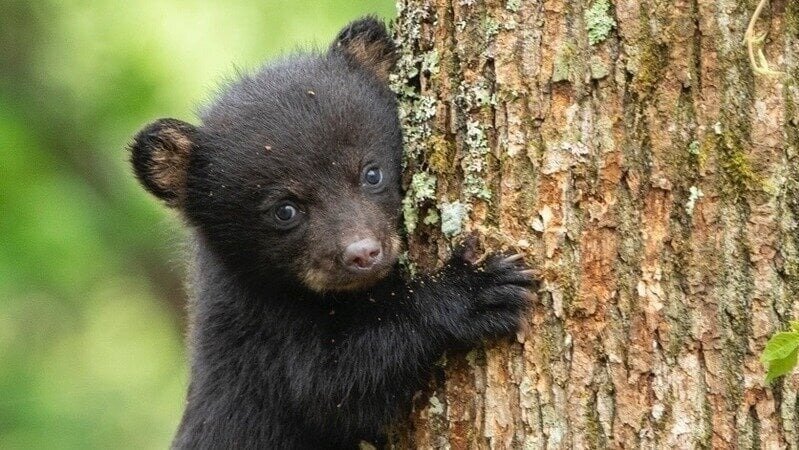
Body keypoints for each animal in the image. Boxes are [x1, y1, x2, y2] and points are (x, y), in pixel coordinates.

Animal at [129, 17, 535, 449]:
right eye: (285, 209)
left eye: (372, 173)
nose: (363, 253)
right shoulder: (261, 341)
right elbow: (333, 385)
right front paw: (476, 288)